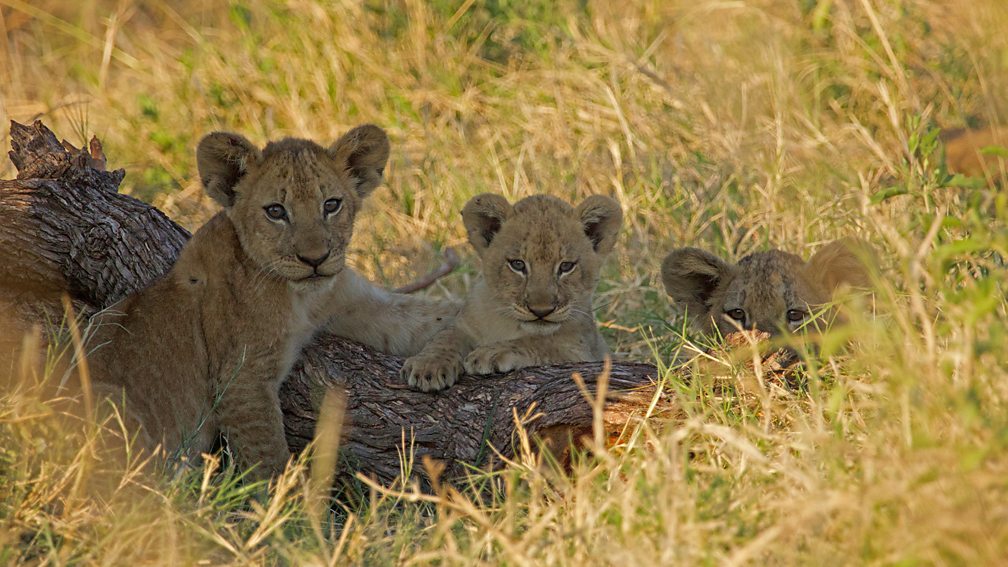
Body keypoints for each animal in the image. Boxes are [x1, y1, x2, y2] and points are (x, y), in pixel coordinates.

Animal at [88, 125, 457, 478]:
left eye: (331, 205)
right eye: (276, 211)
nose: (315, 259)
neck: (301, 297)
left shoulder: (354, 302)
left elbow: (435, 316)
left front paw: (438, 364)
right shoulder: (240, 380)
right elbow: (268, 459)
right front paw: (288, 501)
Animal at [401, 193, 623, 392]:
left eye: (566, 266)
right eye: (518, 264)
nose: (541, 311)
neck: (513, 325)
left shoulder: (583, 352)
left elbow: (540, 343)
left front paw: (489, 354)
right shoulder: (465, 325)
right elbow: (445, 337)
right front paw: (427, 366)